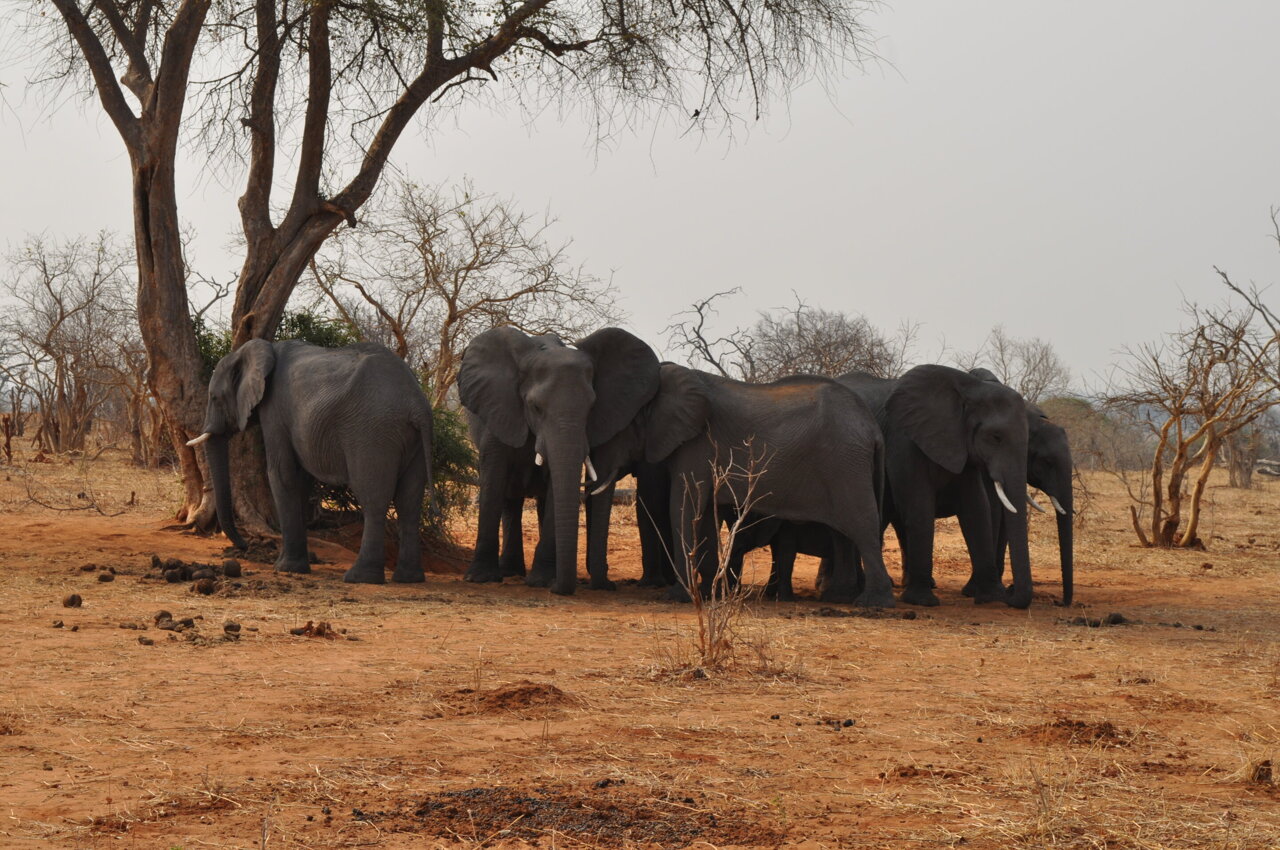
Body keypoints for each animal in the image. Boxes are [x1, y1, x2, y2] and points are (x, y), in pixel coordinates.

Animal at [188, 339, 434, 584]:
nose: (245, 546)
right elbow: (301, 480)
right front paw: (295, 567)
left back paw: (360, 577)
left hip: (372, 432)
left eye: (214, 398)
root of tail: (416, 404)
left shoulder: (274, 411)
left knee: (373, 498)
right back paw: (409, 578)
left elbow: (281, 473)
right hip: (411, 440)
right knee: (409, 502)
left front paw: (285, 568)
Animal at [457, 326, 661, 595]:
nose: (558, 589)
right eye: (535, 407)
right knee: (510, 499)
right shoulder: (499, 412)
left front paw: (542, 581)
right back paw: (510, 572)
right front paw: (480, 578)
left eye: (591, 408)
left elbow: (556, 484)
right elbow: (493, 480)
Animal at [588, 365, 895, 607]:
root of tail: (873, 428)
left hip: (846, 464)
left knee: (862, 525)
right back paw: (839, 598)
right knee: (844, 533)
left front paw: (678, 597)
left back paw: (872, 603)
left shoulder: (697, 445)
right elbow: (704, 514)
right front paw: (709, 593)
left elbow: (684, 506)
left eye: (618, 428)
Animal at [837, 365, 1034, 608]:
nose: (1011, 595)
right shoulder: (905, 438)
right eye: (995, 437)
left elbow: (977, 509)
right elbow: (920, 506)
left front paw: (991, 598)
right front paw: (921, 601)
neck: (968, 389)